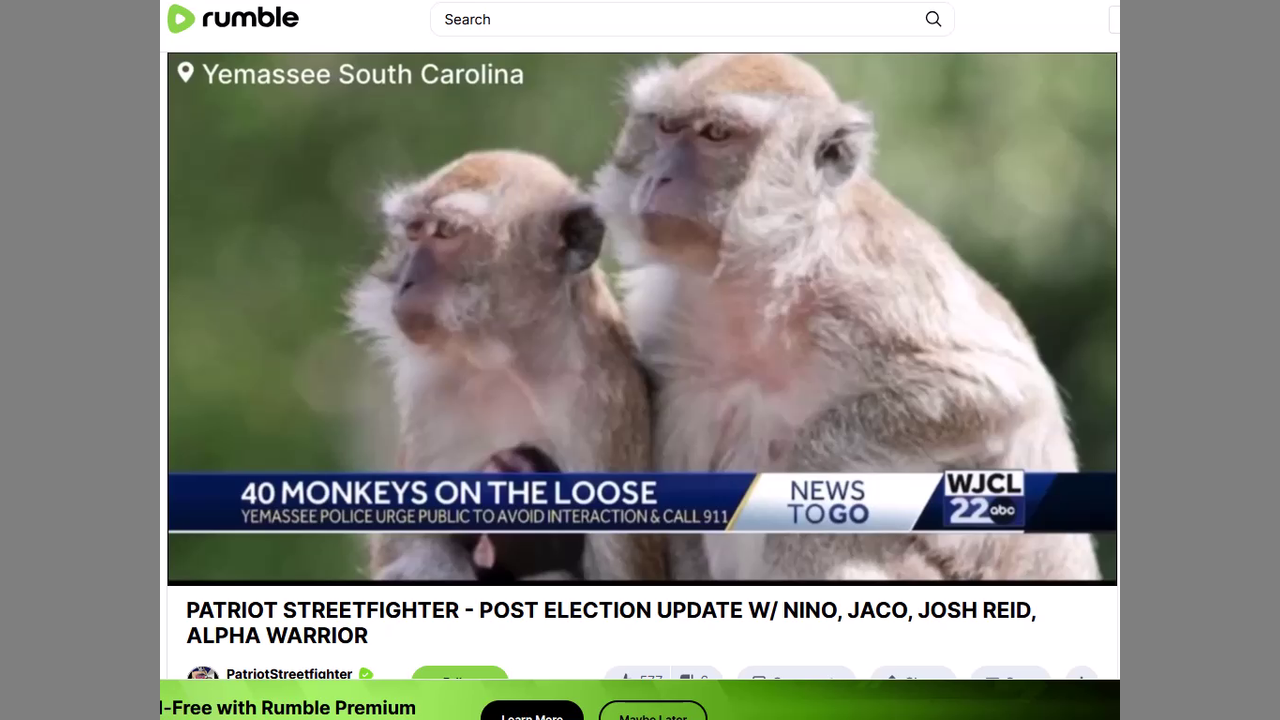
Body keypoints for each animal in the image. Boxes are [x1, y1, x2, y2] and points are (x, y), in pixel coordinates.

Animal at [345, 149, 666, 582]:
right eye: (414, 232)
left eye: (446, 231)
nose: (405, 281)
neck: (507, 362)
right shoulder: (428, 392)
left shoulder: (601, 406)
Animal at [590, 53, 1102, 581]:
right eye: (667, 127)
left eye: (716, 134)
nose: (659, 179)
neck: (762, 275)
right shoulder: (667, 325)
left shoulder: (871, 287)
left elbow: (998, 389)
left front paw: (800, 464)